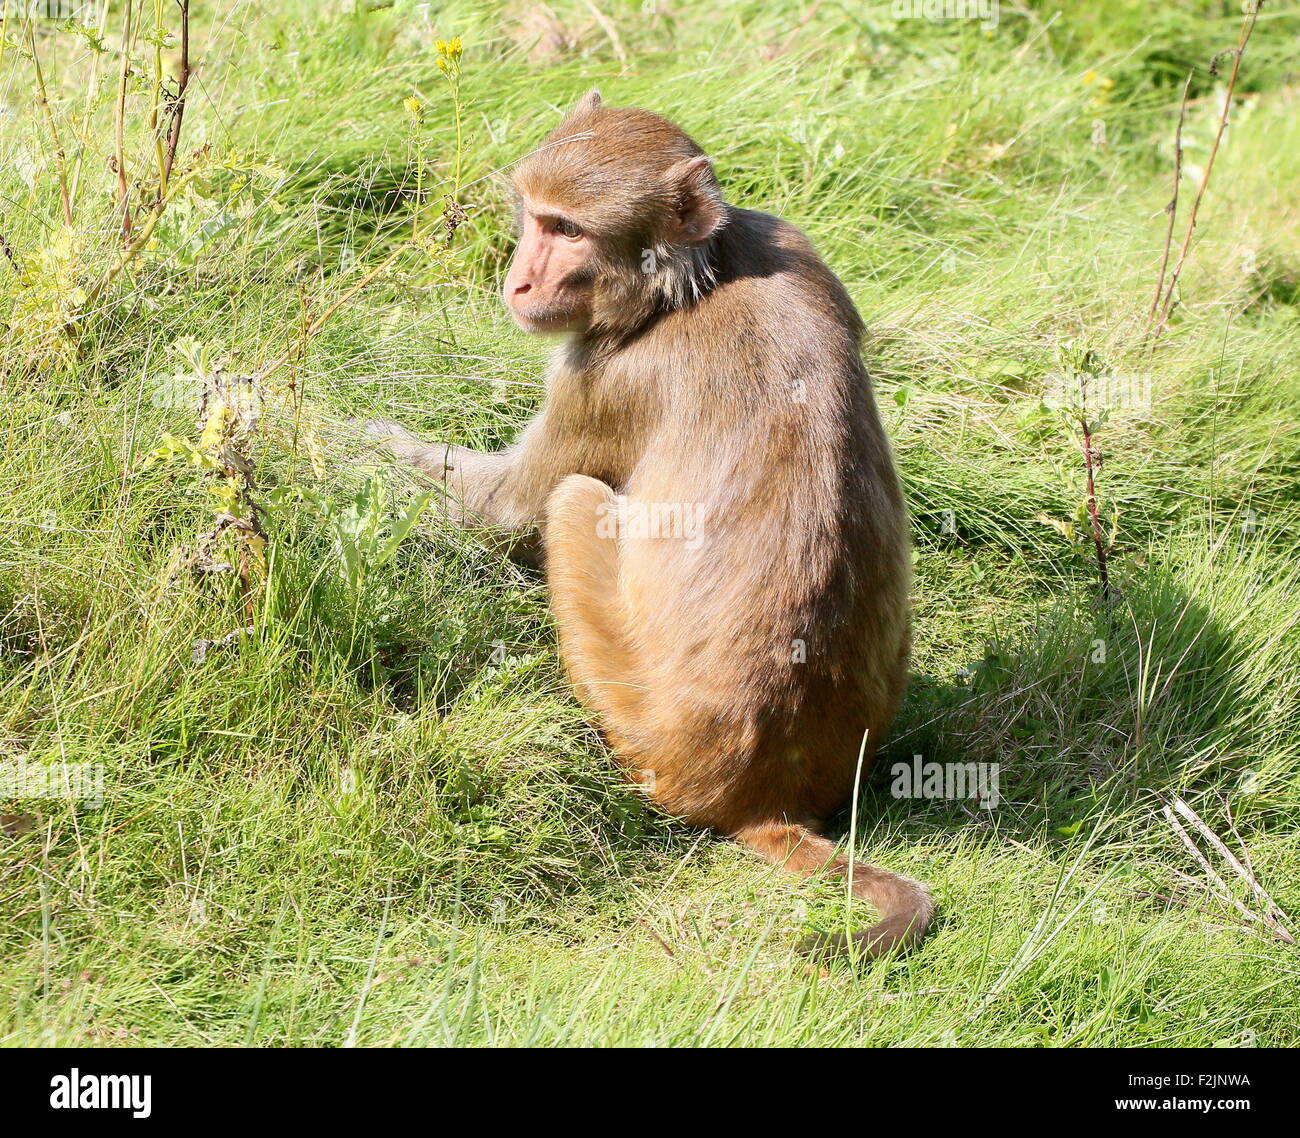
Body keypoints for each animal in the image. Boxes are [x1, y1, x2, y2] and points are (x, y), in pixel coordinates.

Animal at [365, 90, 933, 958]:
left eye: (567, 230)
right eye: (535, 217)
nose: (519, 281)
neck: (692, 283)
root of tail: (766, 796)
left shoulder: (600, 376)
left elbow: (500, 509)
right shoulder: (797, 244)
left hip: (637, 723)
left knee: (572, 499)